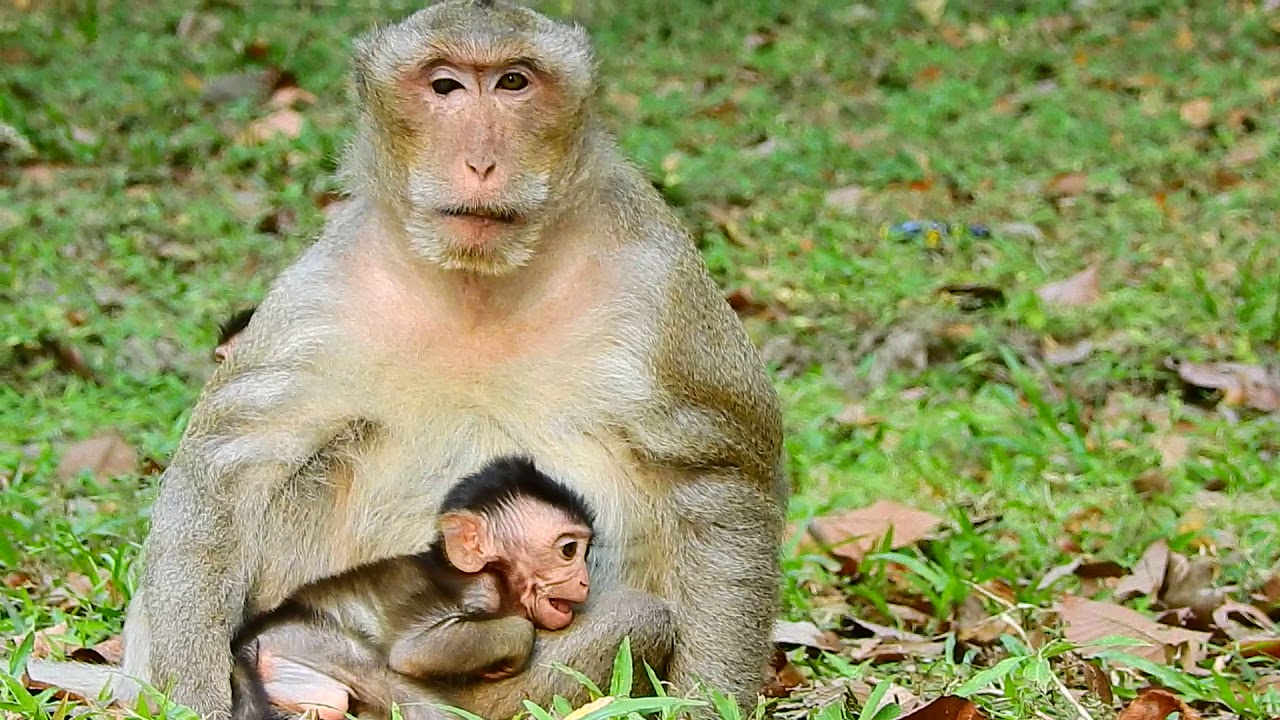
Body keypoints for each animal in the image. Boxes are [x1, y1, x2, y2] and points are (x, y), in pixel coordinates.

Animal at [230, 456, 596, 720]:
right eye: (568, 551)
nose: (585, 581)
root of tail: (250, 639)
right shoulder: (478, 589)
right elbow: (415, 652)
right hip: (309, 641)